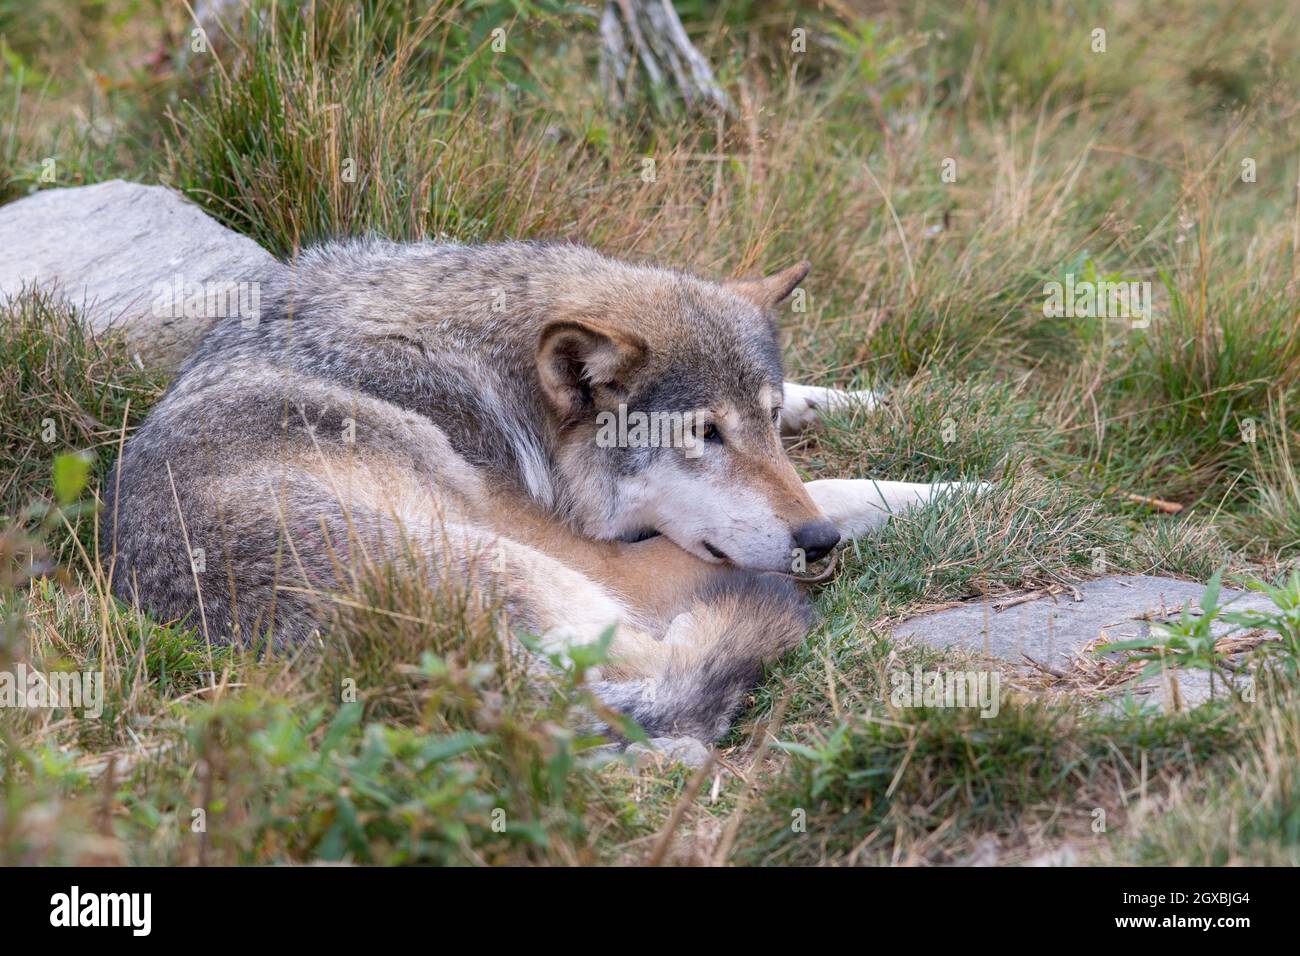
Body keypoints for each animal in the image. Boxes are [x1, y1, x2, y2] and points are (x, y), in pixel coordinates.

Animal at [102, 239, 976, 743]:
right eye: (704, 435)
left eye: (758, 421)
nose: (816, 543)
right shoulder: (607, 555)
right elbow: (838, 485)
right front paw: (958, 490)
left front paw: (875, 405)